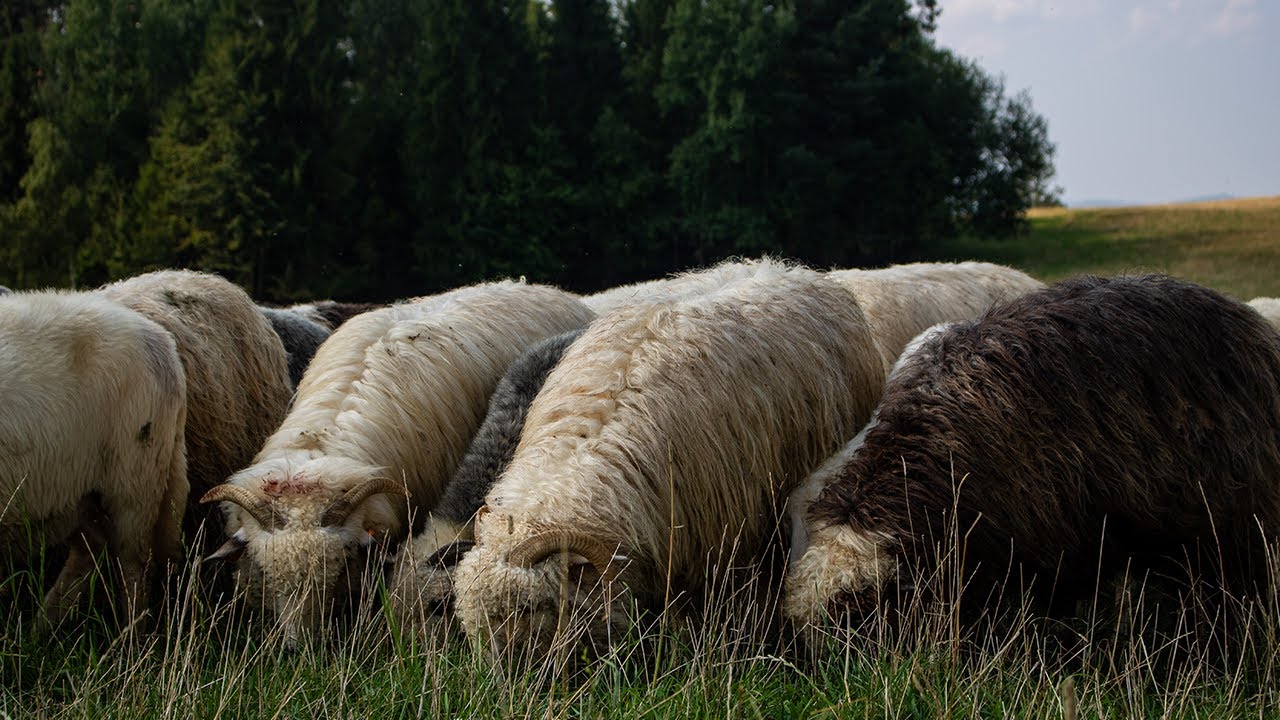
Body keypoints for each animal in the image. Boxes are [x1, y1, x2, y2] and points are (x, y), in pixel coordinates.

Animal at [0, 291, 188, 625]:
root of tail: (164, 342)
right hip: (80, 490)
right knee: (89, 554)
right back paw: (43, 627)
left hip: (134, 476)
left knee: (134, 564)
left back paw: (129, 635)